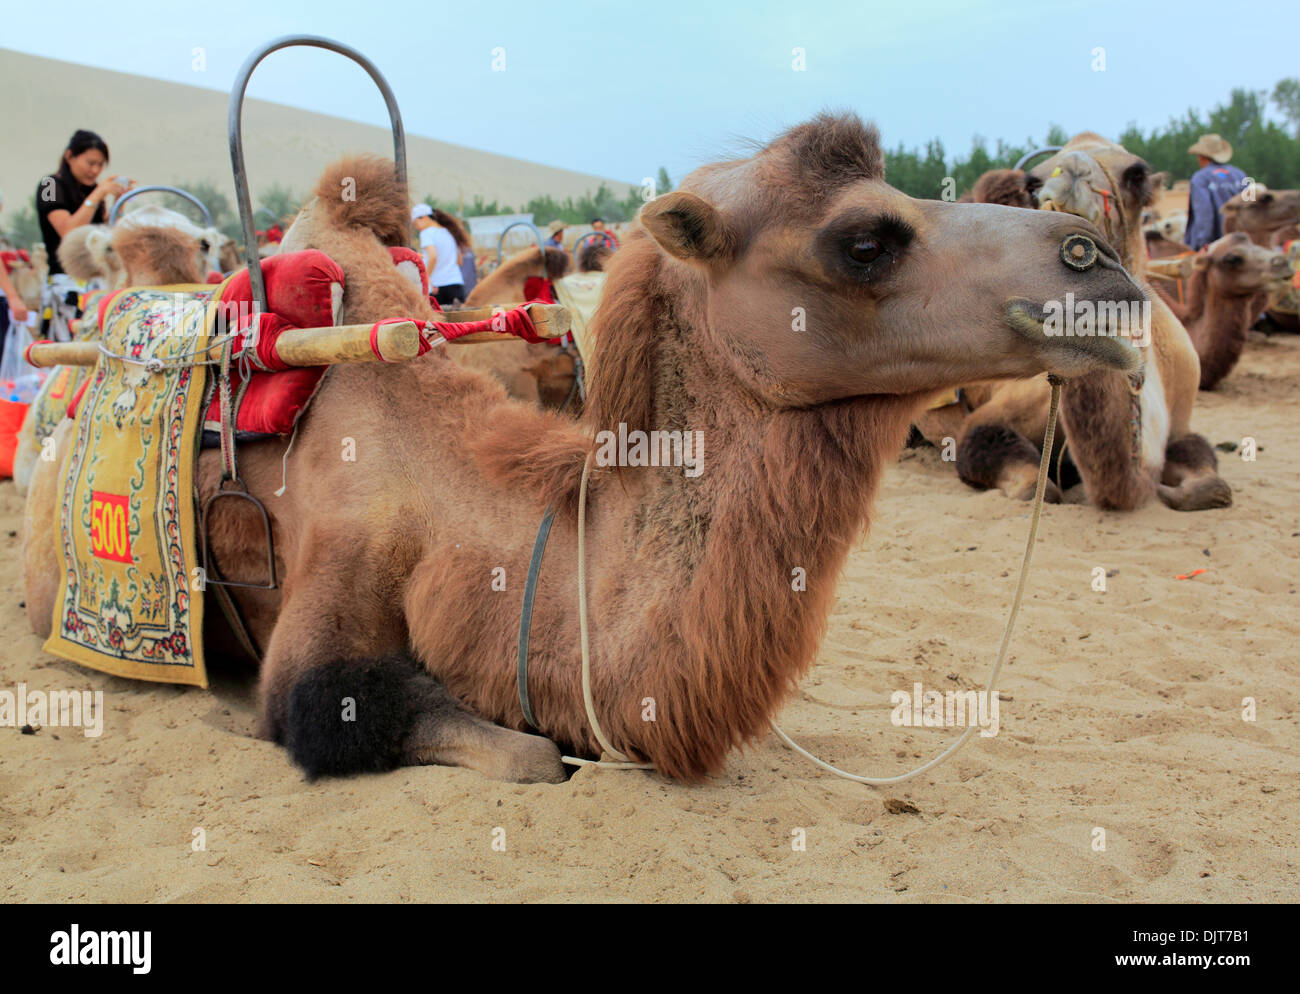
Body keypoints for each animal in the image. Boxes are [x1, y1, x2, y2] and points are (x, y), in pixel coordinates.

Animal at [919, 132, 1229, 511]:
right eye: (1033, 183)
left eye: (1137, 174)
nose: (1071, 172)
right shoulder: (990, 416)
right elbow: (1028, 482)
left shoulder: (1182, 415)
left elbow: (1210, 483)